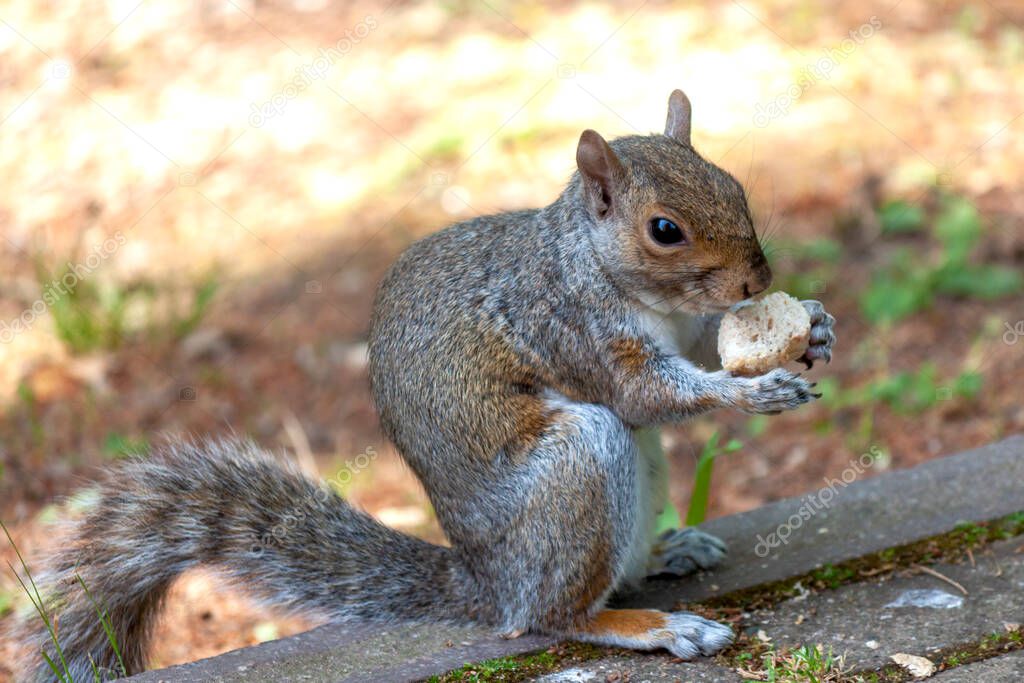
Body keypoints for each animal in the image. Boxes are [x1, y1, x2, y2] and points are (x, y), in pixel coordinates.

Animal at [17, 89, 836, 680]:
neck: (594, 263)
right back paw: (650, 625)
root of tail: (483, 580)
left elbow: (701, 344)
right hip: (581, 461)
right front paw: (752, 392)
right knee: (550, 615)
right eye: (665, 229)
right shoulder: (570, 323)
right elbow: (645, 395)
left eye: (733, 185)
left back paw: (670, 553)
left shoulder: (675, 326)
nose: (756, 279)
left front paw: (815, 325)